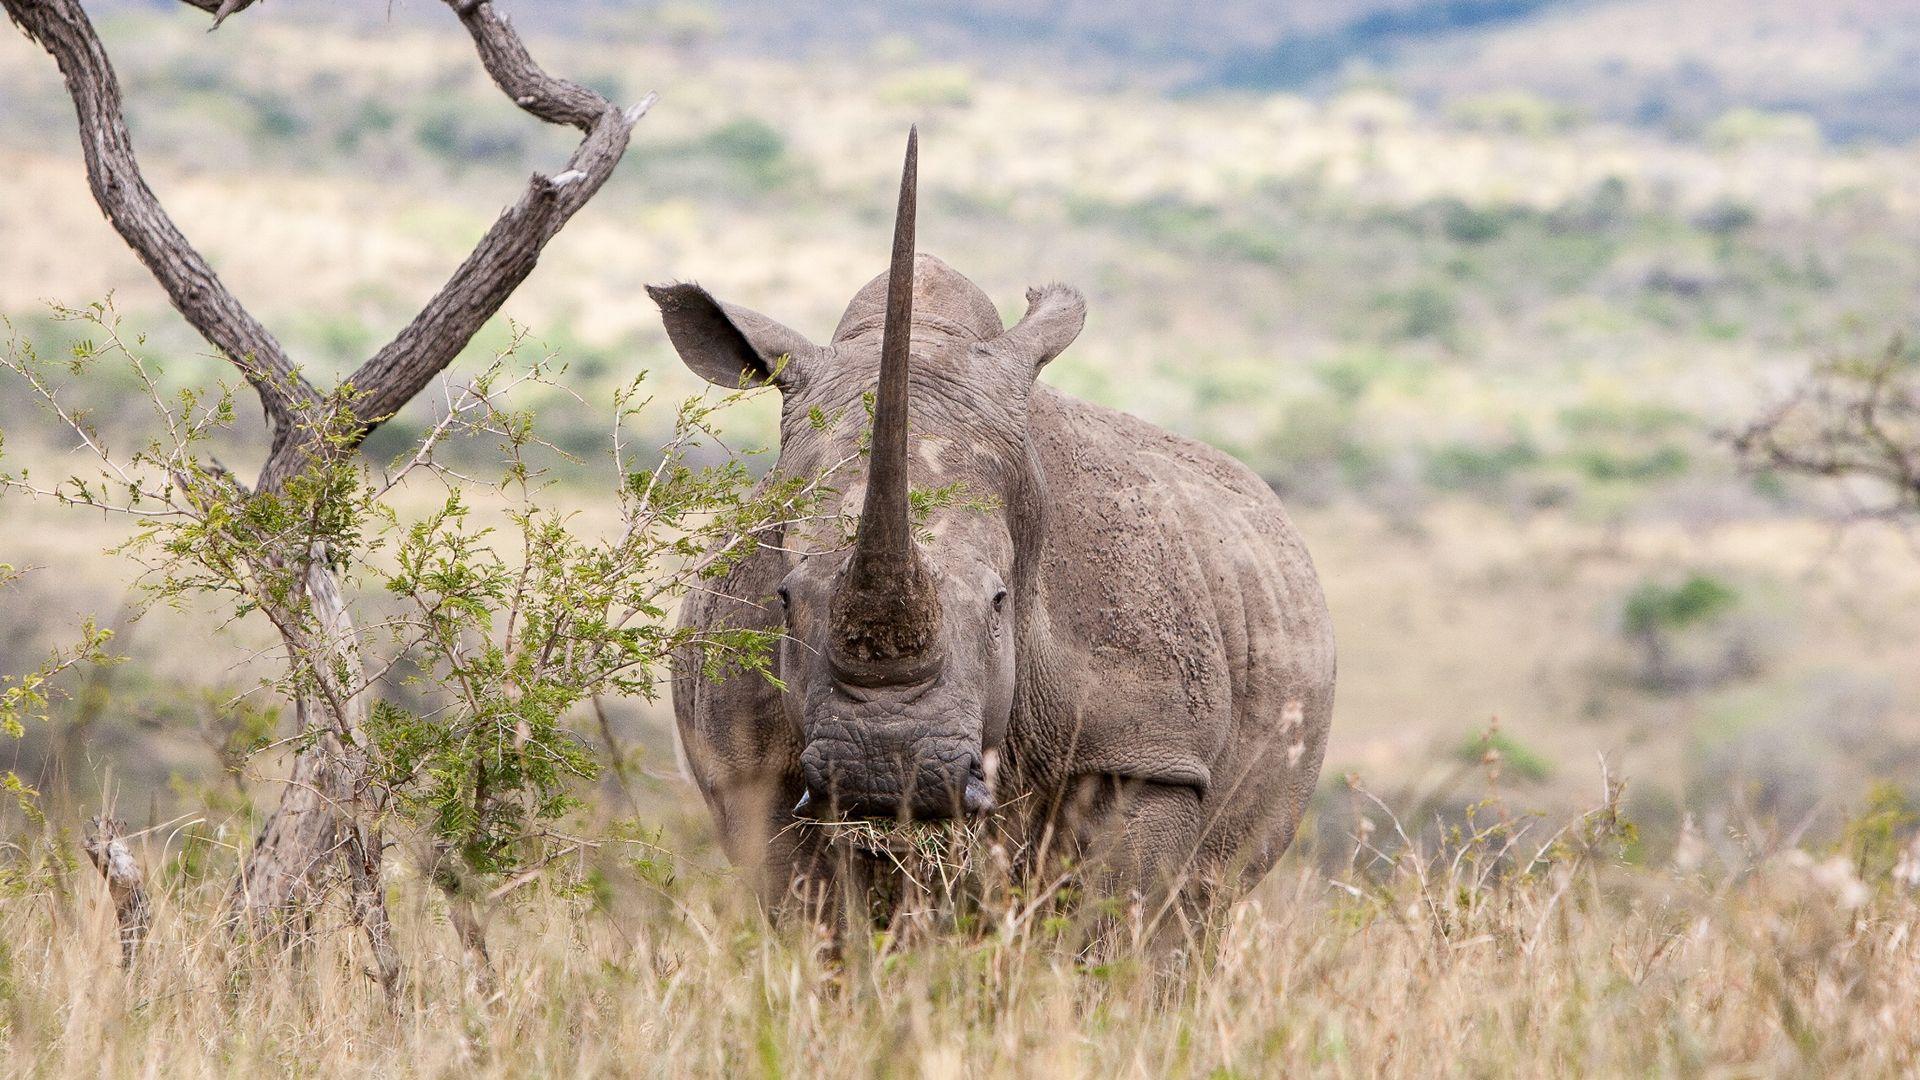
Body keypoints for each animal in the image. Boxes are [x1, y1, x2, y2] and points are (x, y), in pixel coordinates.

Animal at [650, 130, 1334, 921]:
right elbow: (816, 920)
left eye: (1000, 602)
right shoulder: (747, 774)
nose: (882, 774)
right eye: (785, 600)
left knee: (1202, 899)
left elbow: (1114, 918)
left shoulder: (1151, 752)